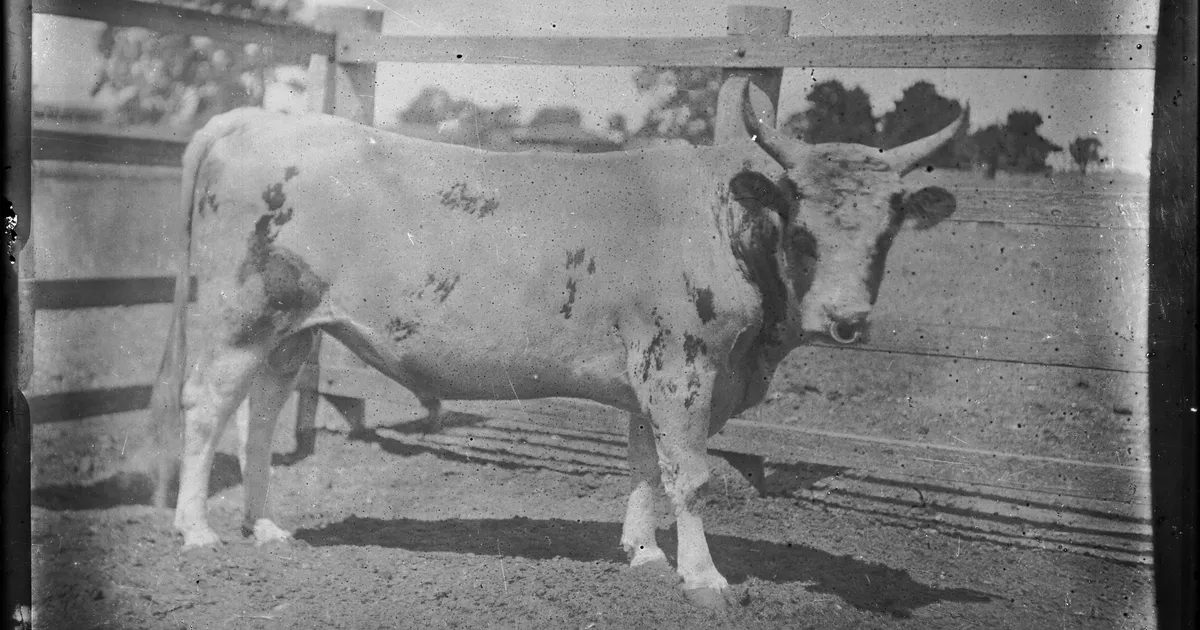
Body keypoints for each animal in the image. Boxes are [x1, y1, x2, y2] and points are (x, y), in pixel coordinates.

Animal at [148, 77, 964, 608]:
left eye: (887, 230)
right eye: (803, 230)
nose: (846, 318)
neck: (722, 220)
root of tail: (254, 120)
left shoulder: (649, 371)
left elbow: (643, 463)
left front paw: (642, 554)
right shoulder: (683, 366)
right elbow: (690, 474)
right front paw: (702, 577)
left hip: (293, 329)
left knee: (259, 414)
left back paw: (266, 526)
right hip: (238, 317)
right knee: (206, 407)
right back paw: (195, 529)